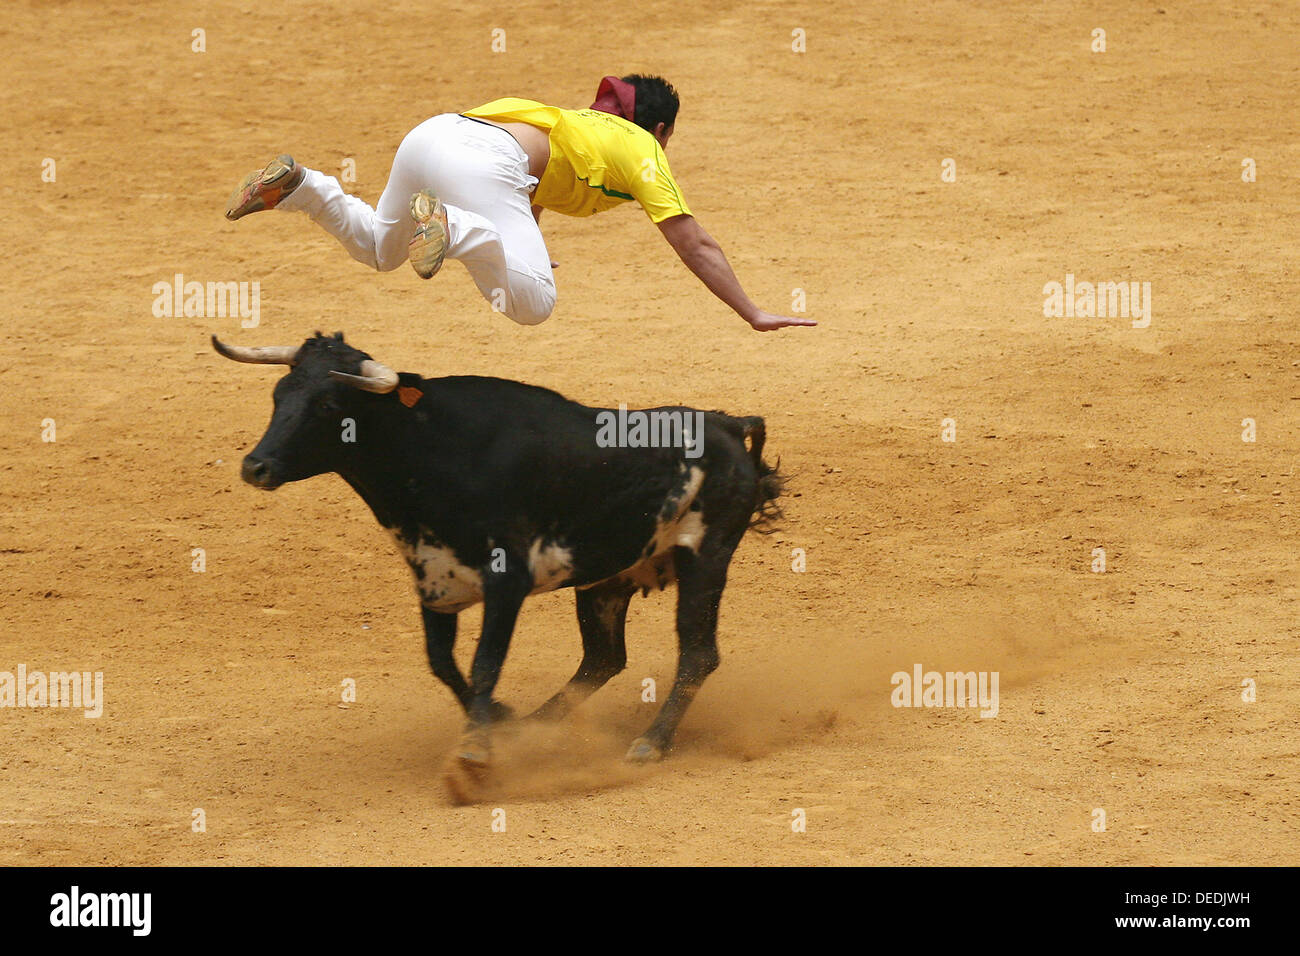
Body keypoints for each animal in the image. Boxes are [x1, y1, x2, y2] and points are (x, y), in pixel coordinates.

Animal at [214, 332, 783, 798]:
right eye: (279, 395)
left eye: (329, 404)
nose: (255, 467)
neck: (432, 452)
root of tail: (728, 424)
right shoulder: (433, 581)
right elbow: (443, 663)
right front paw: (500, 723)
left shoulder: (507, 580)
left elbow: (485, 662)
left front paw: (475, 753)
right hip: (605, 580)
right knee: (603, 658)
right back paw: (538, 727)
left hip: (705, 562)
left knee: (697, 654)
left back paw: (650, 744)